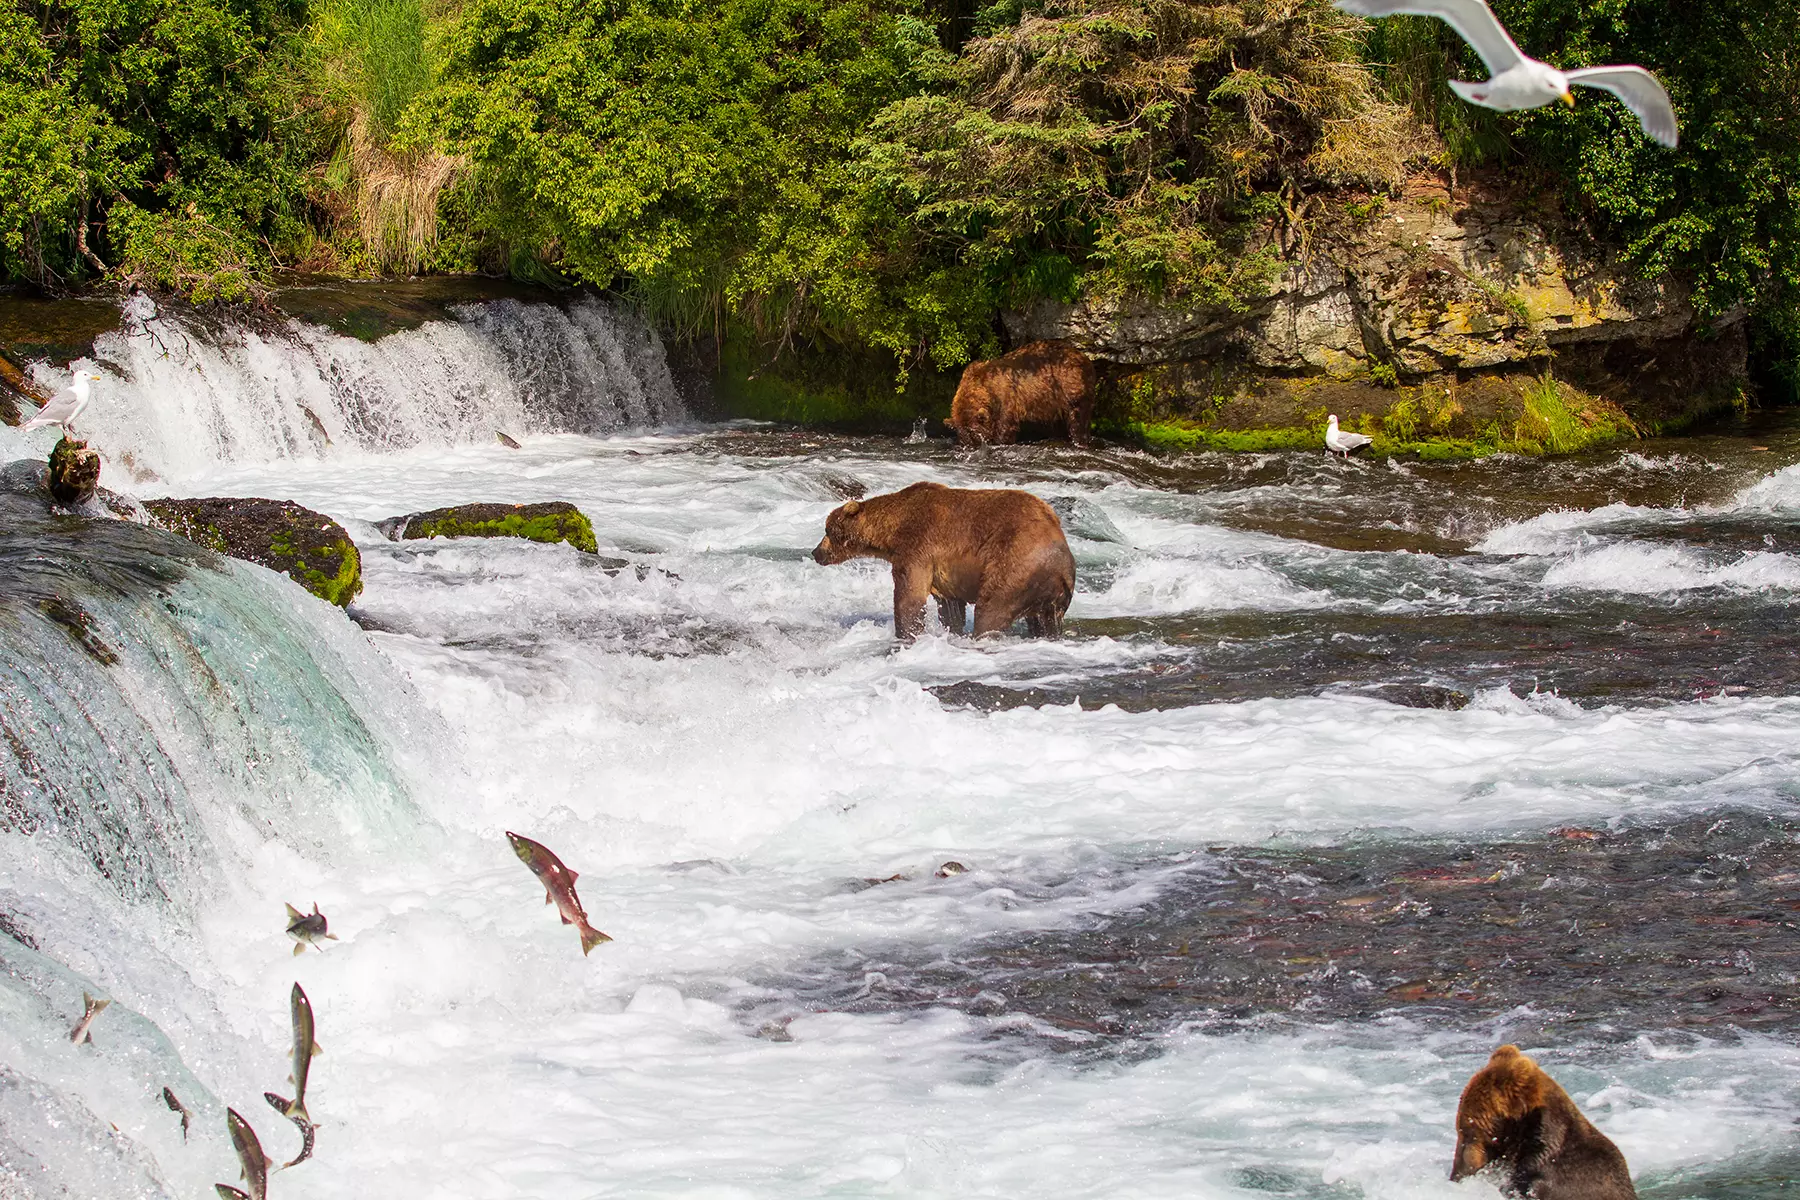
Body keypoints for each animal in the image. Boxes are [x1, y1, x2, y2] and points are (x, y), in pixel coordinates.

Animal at [810, 482, 1072, 644]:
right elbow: (950, 608)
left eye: (827, 530)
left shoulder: (918, 548)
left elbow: (909, 596)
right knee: (1044, 622)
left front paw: (907, 634)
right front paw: (950, 629)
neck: (891, 533)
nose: (816, 552)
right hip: (1048, 594)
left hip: (1015, 562)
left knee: (992, 608)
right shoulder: (944, 573)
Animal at [943, 341, 1094, 449]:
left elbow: (1005, 428)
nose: (974, 447)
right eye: (966, 440)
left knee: (1077, 419)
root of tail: (1084, 357)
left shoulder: (1005, 399)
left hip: (1070, 388)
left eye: (977, 437)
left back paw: (1079, 441)